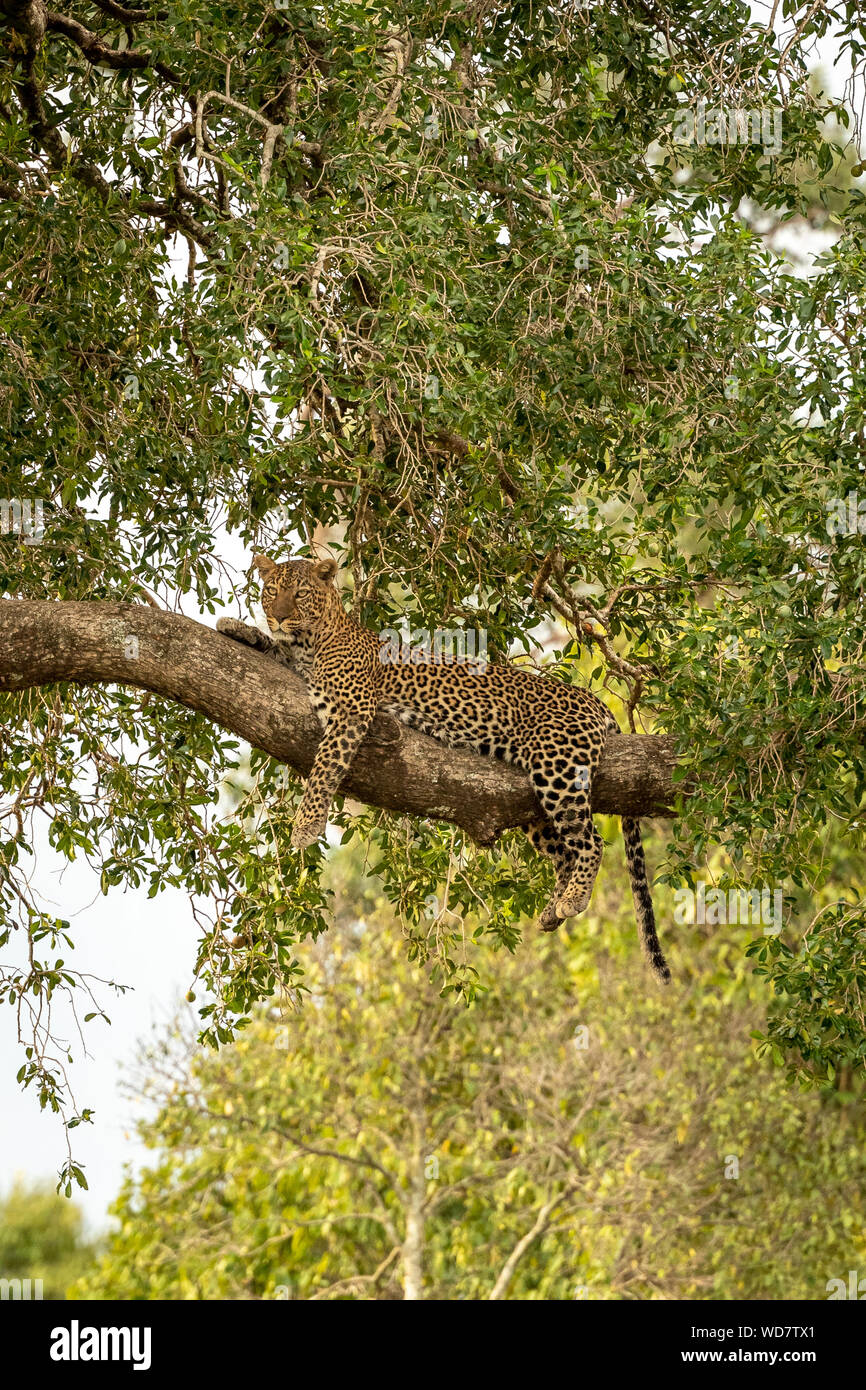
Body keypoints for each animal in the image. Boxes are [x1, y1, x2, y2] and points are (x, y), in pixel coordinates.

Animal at [216, 553, 670, 983]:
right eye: (271, 591)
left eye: (300, 593)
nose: (278, 615)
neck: (310, 642)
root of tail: (593, 701)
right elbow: (271, 647)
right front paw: (235, 627)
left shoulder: (351, 711)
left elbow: (324, 766)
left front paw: (305, 826)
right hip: (533, 800)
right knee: (564, 850)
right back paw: (554, 907)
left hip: (556, 765)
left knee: (590, 841)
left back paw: (573, 898)